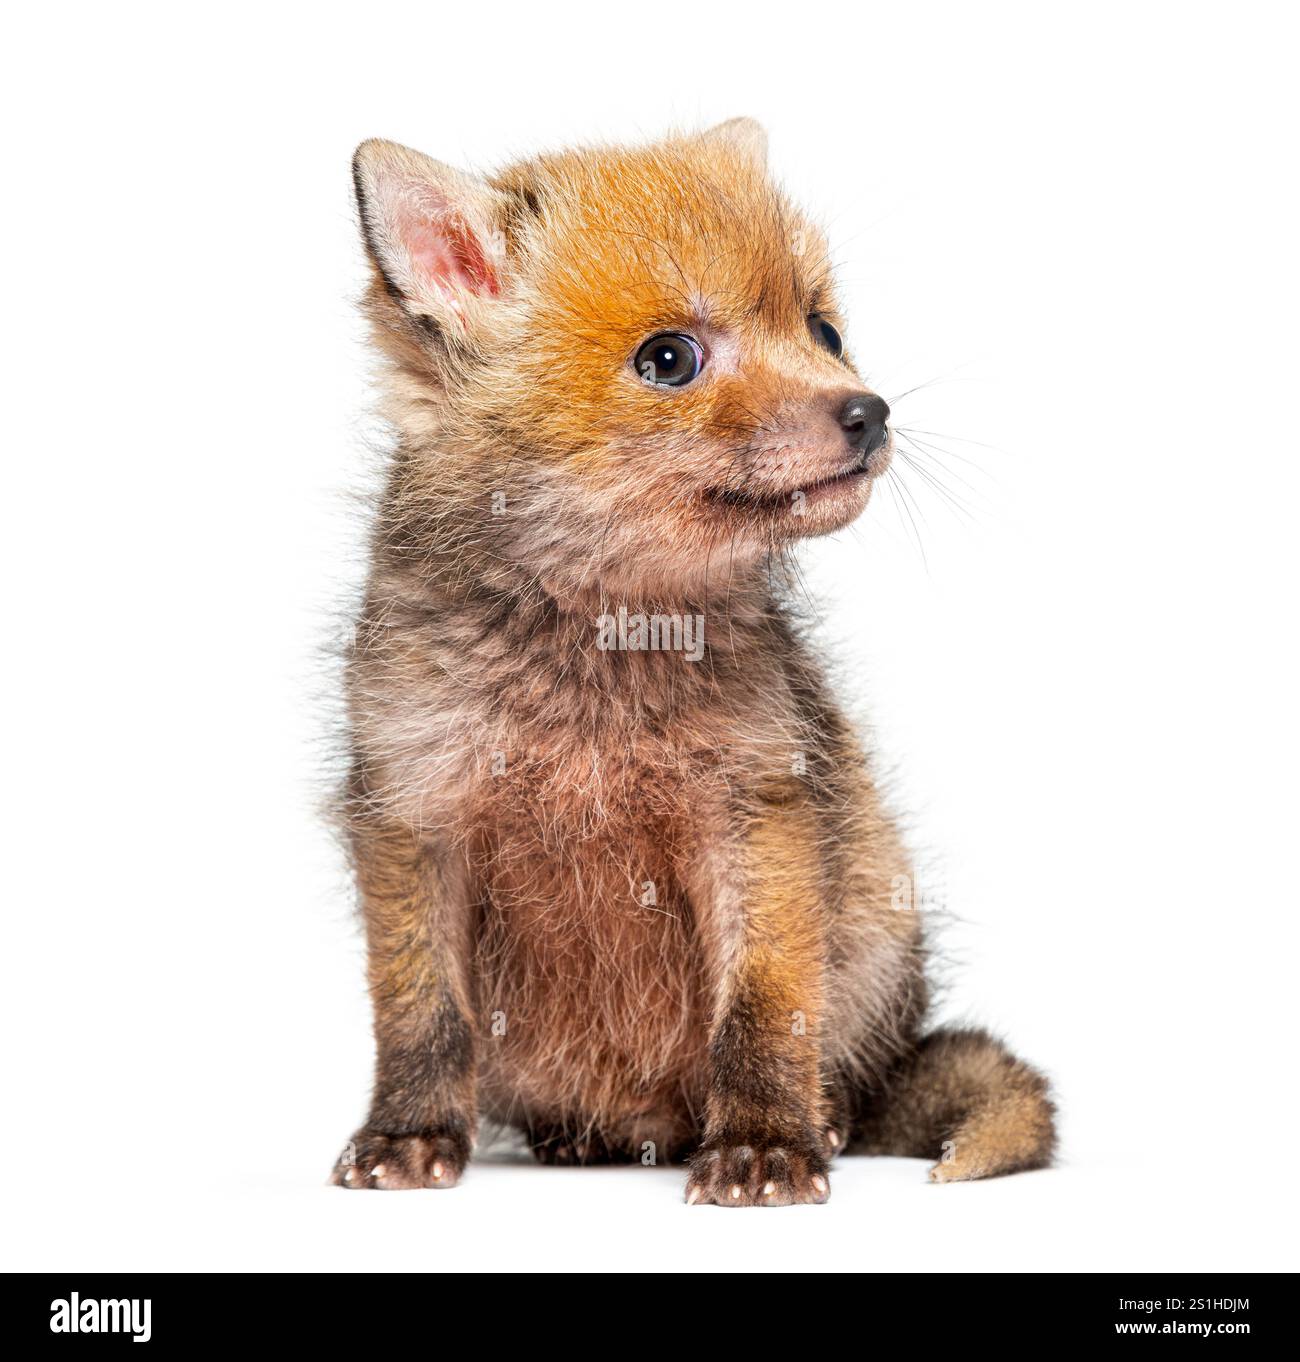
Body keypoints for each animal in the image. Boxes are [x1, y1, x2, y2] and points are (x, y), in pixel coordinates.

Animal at [331, 119, 1055, 1205]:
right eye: (668, 358)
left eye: (822, 330)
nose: (869, 413)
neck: (597, 657)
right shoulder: (412, 816)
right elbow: (423, 1014)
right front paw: (409, 1134)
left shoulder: (755, 810)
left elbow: (760, 1006)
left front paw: (764, 1142)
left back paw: (815, 1121)